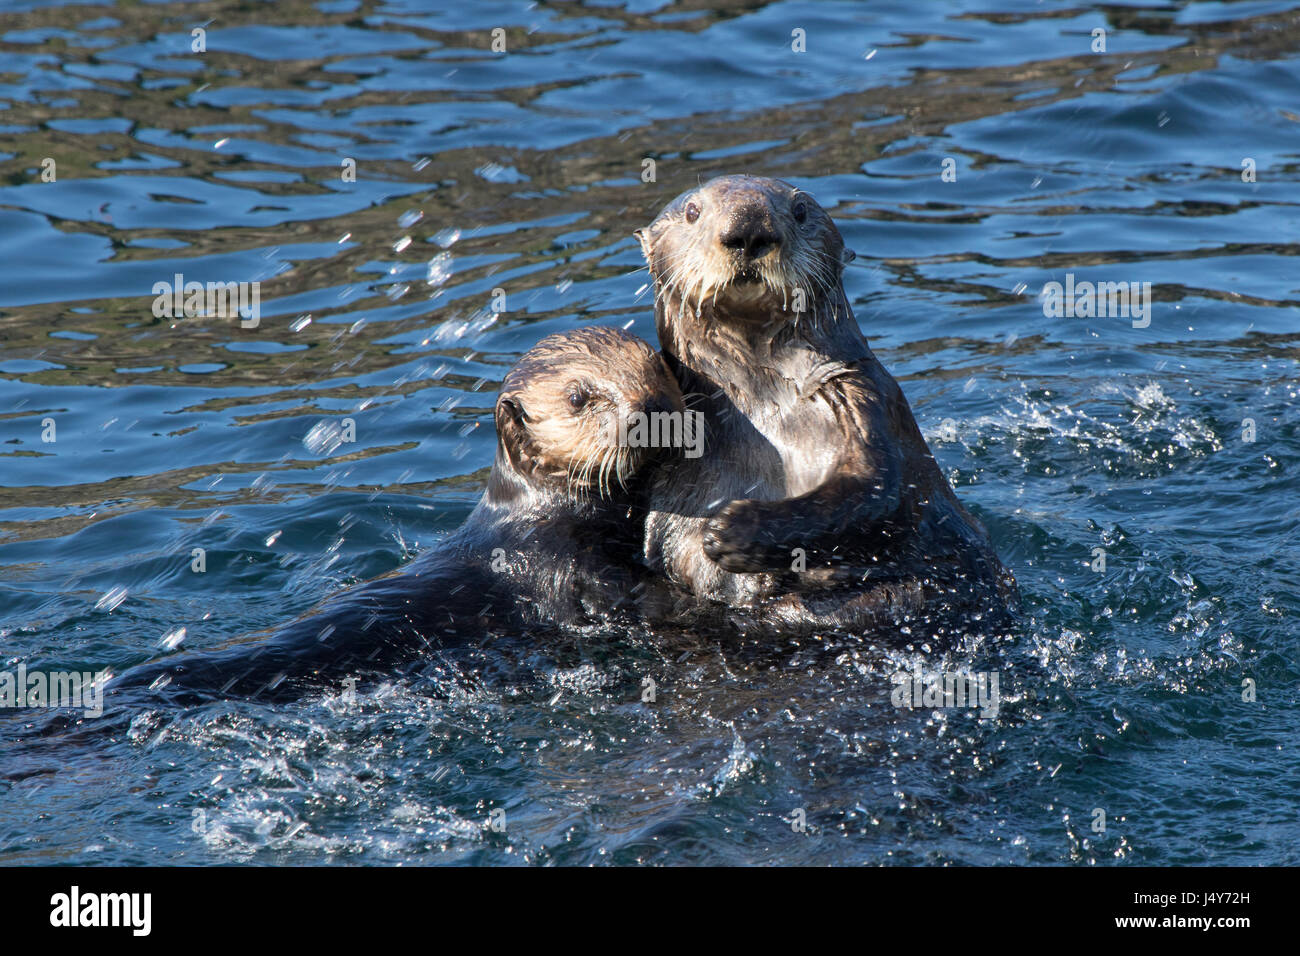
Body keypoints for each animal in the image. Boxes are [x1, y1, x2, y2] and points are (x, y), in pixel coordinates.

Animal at [635, 175, 1016, 633]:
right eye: (693, 211)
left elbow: (876, 492)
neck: (766, 407)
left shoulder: (864, 397)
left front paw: (731, 531)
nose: (748, 231)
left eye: (800, 211)